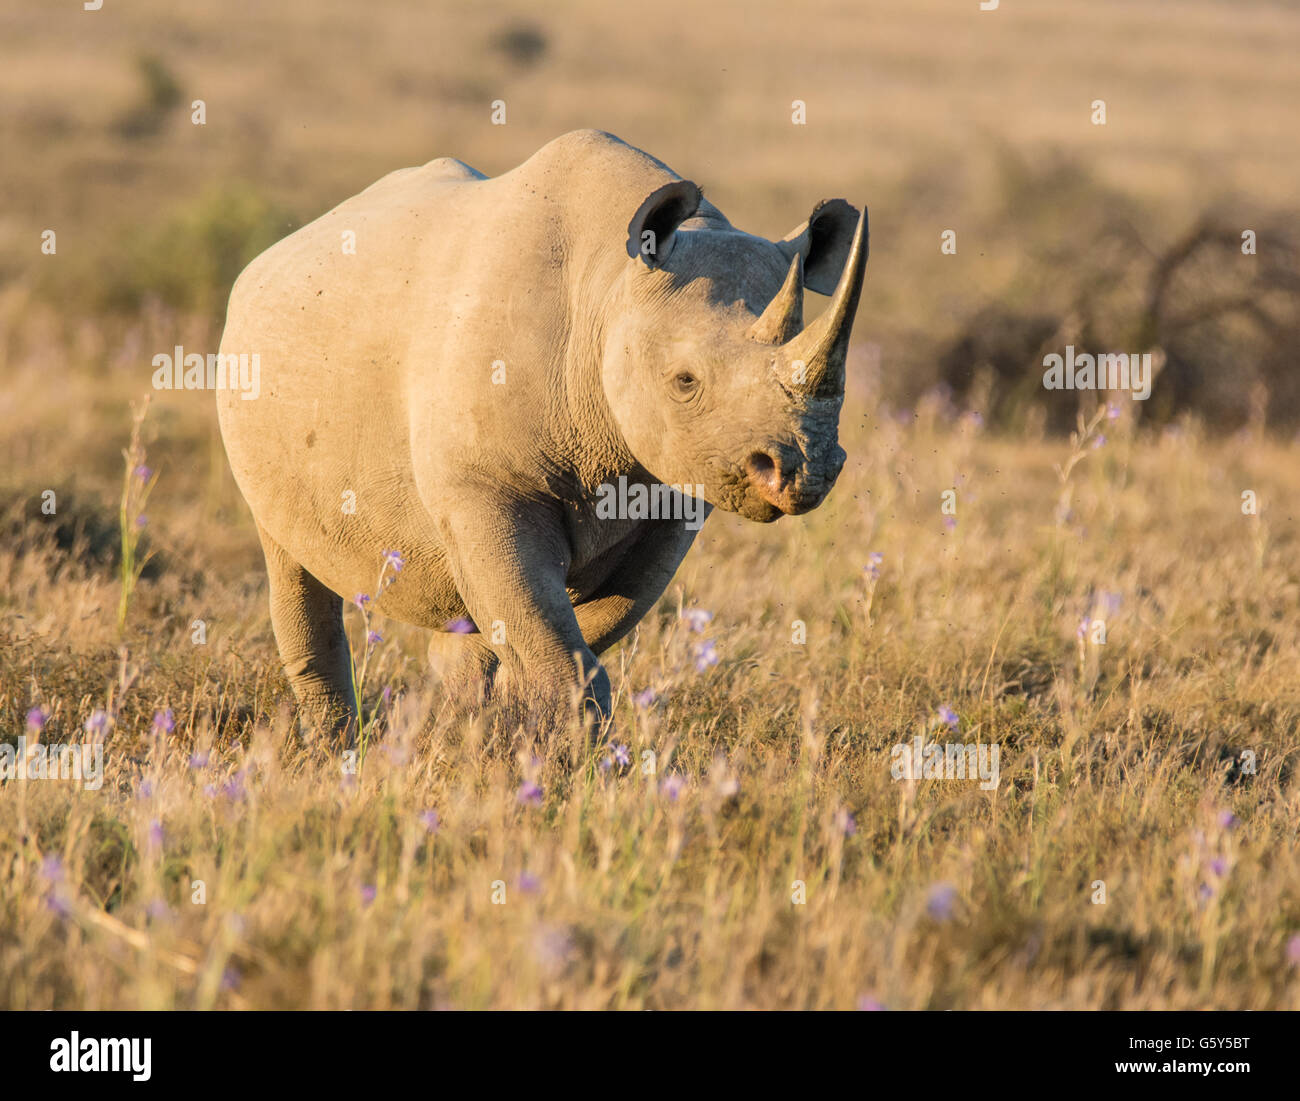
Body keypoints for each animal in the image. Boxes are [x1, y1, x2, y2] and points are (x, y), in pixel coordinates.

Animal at [216, 129, 868, 739]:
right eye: (684, 382)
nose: (806, 472)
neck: (610, 289)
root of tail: (264, 262)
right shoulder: (485, 486)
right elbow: (548, 630)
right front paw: (563, 753)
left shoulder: (674, 496)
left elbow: (588, 623)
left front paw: (489, 697)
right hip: (252, 360)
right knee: (288, 556)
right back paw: (335, 750)